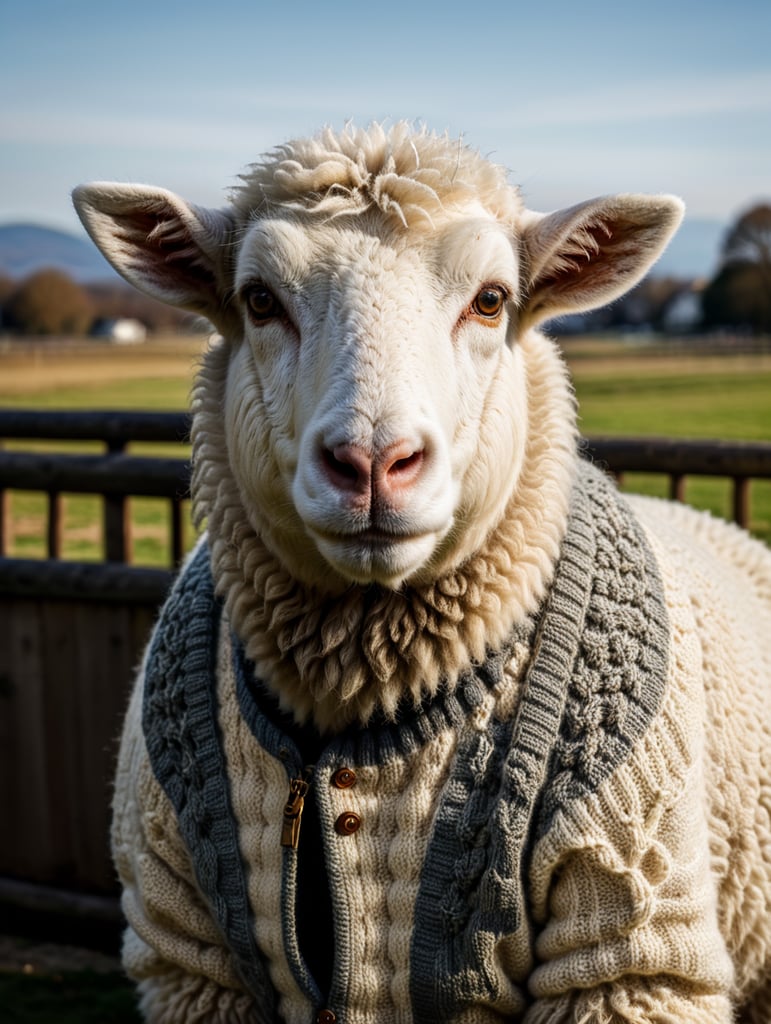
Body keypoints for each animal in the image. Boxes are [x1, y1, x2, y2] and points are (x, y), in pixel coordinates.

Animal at [74, 122, 771, 1024]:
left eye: (491, 300)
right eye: (258, 299)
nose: (373, 463)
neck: (363, 686)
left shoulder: (625, 955)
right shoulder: (185, 954)